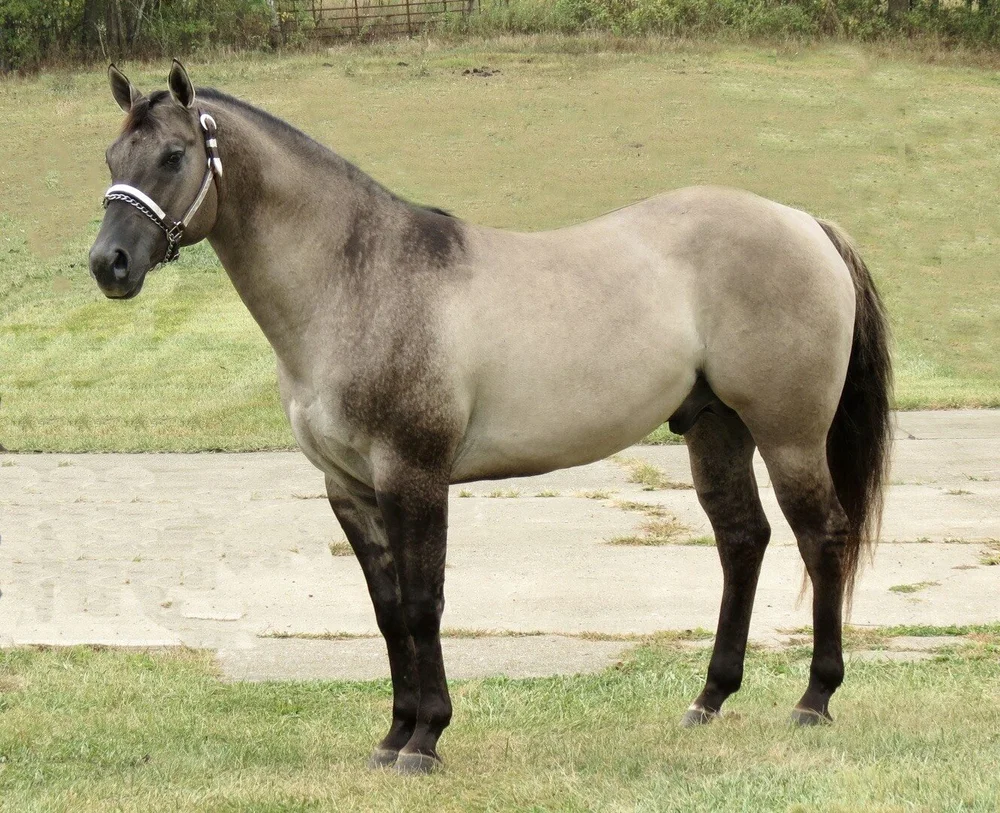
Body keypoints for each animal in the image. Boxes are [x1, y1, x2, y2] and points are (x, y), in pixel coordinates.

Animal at [89, 61, 893, 774]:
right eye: (111, 156)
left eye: (172, 155)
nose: (109, 264)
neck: (360, 280)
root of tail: (805, 223)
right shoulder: (348, 488)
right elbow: (387, 611)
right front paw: (391, 736)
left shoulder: (413, 475)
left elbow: (424, 603)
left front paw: (425, 740)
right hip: (716, 427)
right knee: (742, 539)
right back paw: (710, 699)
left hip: (789, 434)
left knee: (821, 537)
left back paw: (814, 699)